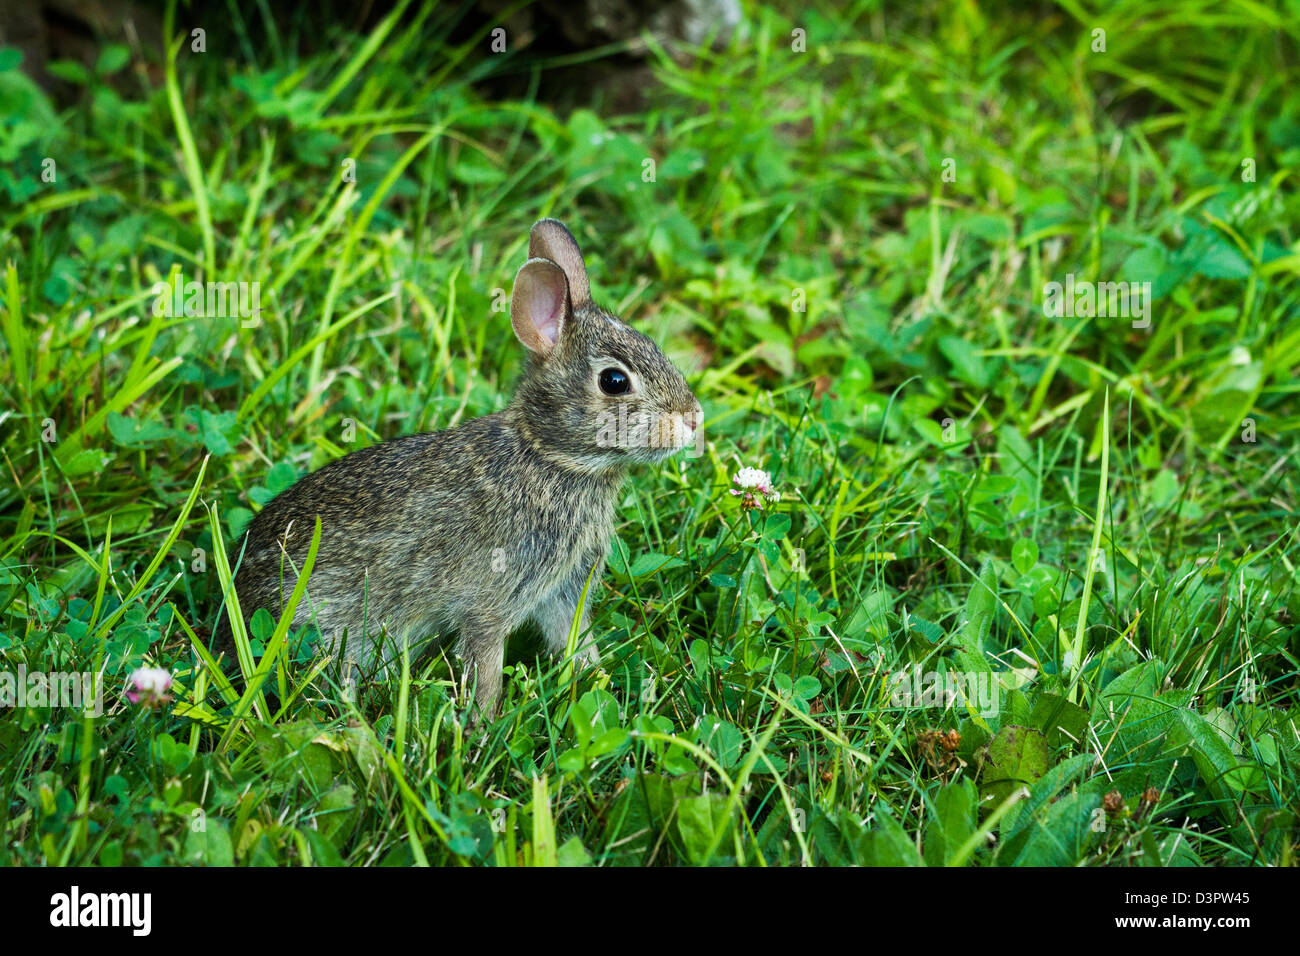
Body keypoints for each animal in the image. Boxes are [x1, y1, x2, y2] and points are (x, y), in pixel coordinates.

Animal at [215, 219, 703, 719]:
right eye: (614, 381)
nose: (692, 419)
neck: (548, 455)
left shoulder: (562, 589)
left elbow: (574, 640)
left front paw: (598, 685)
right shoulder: (491, 600)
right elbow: (486, 660)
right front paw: (484, 721)